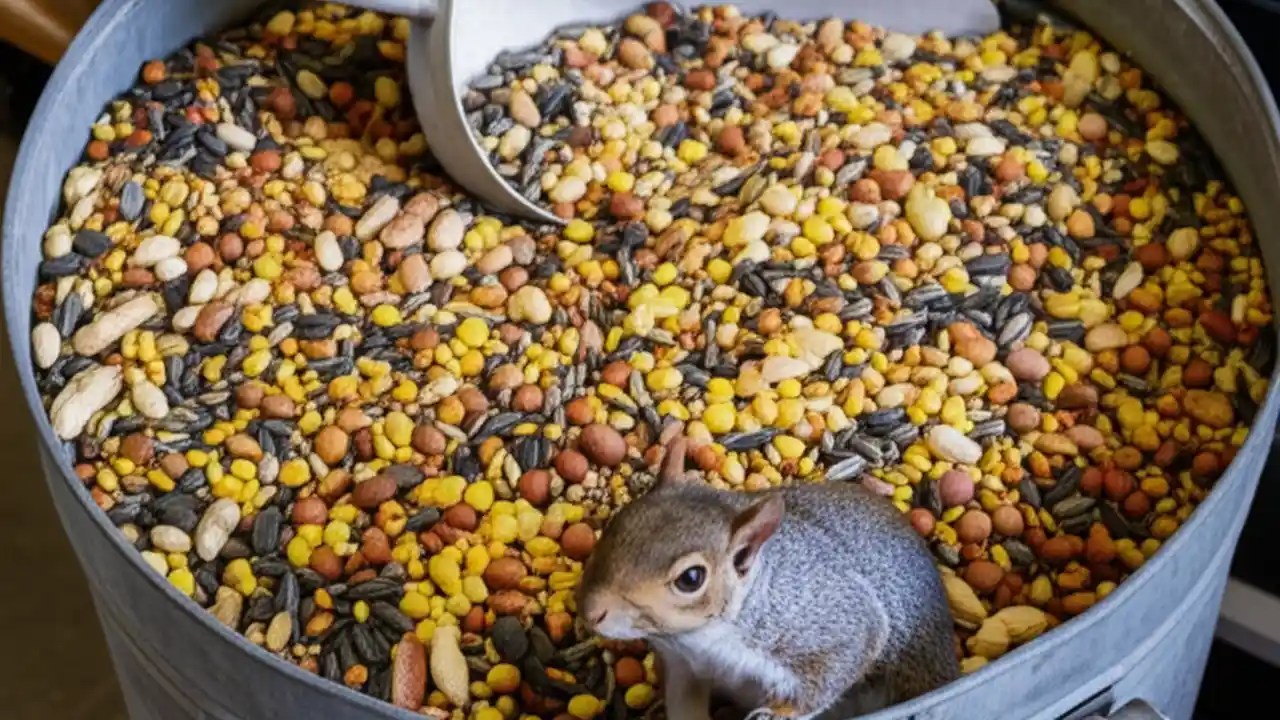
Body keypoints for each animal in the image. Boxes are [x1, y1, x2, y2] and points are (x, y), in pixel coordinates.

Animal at [578, 437, 958, 720]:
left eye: (691, 578)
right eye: (616, 522)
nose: (592, 611)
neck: (703, 638)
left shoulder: (824, 618)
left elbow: (835, 666)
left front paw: (778, 713)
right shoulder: (681, 664)